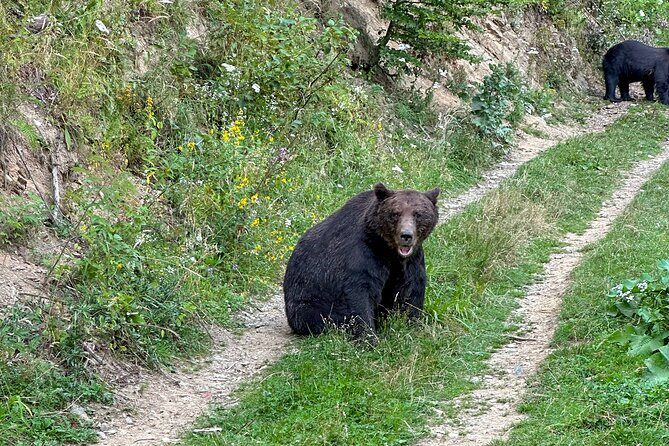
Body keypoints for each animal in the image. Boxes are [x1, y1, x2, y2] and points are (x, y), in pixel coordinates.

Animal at [283, 183, 440, 341]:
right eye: (395, 213)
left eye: (418, 214)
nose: (406, 235)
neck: (388, 250)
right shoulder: (363, 254)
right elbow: (359, 294)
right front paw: (369, 337)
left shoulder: (410, 261)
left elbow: (411, 289)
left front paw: (412, 325)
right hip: (308, 299)